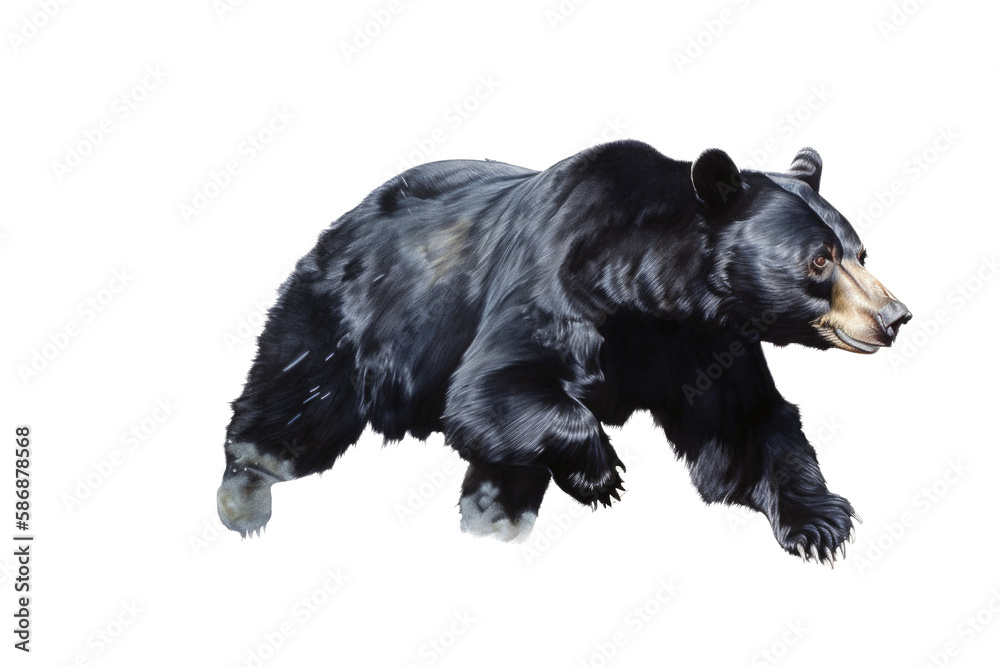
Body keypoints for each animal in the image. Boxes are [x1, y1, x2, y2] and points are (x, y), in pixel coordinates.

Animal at [216, 140, 911, 565]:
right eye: (819, 260)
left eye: (860, 251)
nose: (894, 317)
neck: (652, 294)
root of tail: (348, 215)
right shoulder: (558, 289)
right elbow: (491, 386)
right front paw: (600, 473)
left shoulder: (705, 346)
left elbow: (745, 428)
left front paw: (818, 524)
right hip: (349, 316)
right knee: (295, 402)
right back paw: (246, 495)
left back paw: (492, 521)